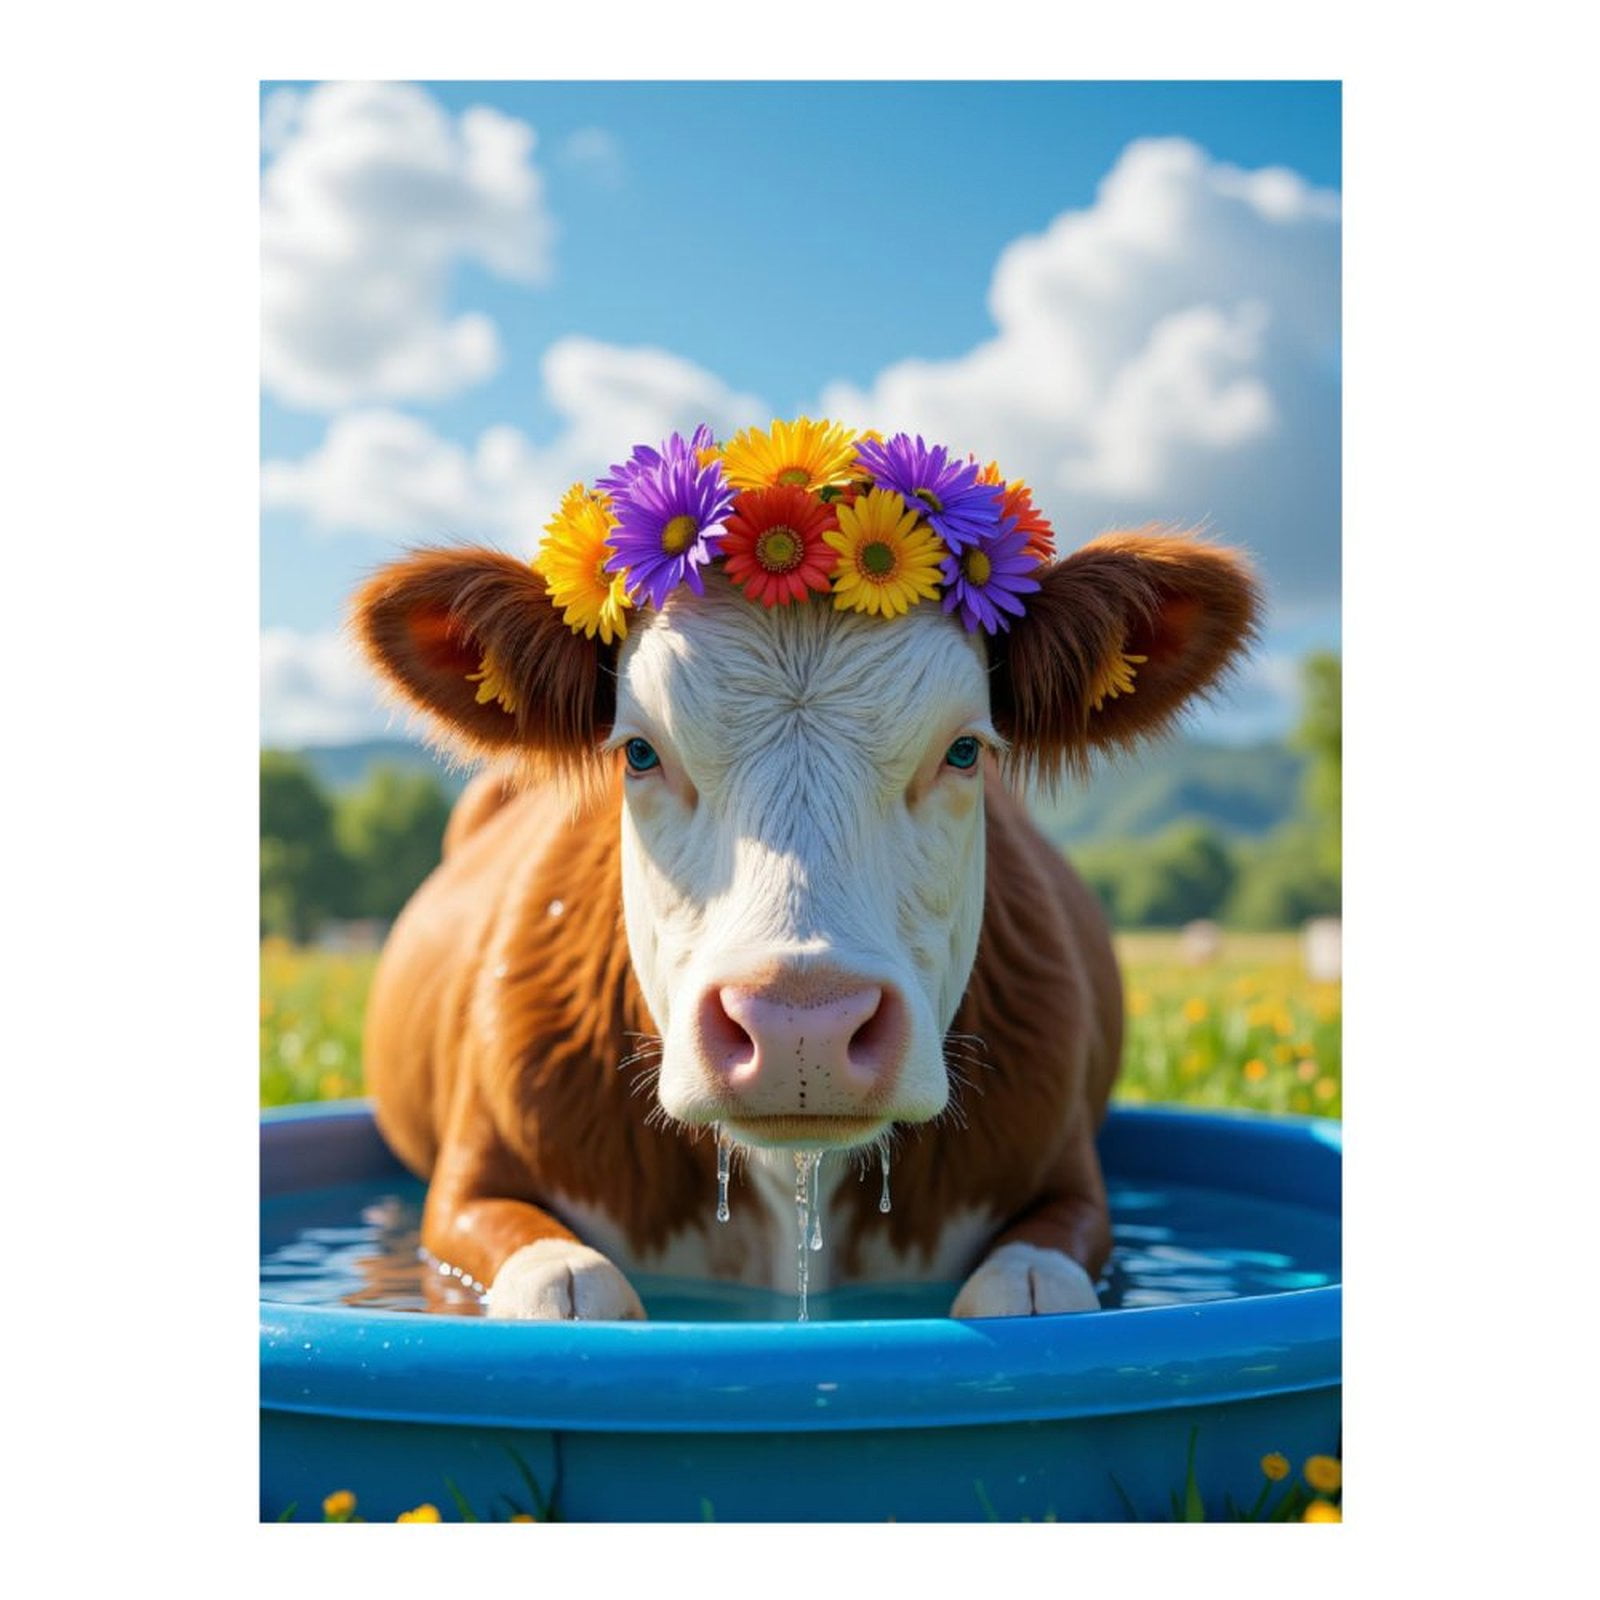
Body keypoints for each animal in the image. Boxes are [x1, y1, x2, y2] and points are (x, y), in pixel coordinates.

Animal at [350, 455, 1258, 1322]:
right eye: (640, 752)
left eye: (964, 750)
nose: (801, 1027)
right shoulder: (471, 1182)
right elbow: (569, 1287)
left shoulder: (1071, 1180)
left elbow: (1029, 1289)